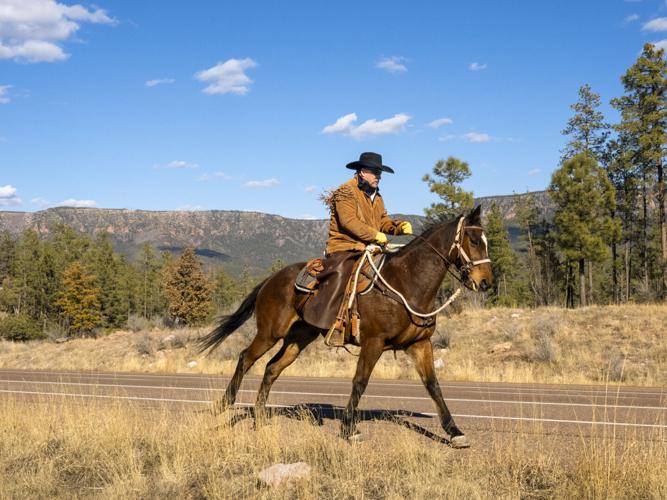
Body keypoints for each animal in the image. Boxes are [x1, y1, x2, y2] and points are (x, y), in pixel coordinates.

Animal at [198, 205, 493, 448]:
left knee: (272, 368)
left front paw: (454, 431)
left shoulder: (420, 344)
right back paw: (223, 405)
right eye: (473, 240)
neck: (406, 282)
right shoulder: (374, 342)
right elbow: (360, 382)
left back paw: (259, 417)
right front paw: (349, 428)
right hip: (270, 332)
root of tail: (271, 279)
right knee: (245, 358)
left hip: (299, 337)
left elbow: (433, 385)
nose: (486, 282)